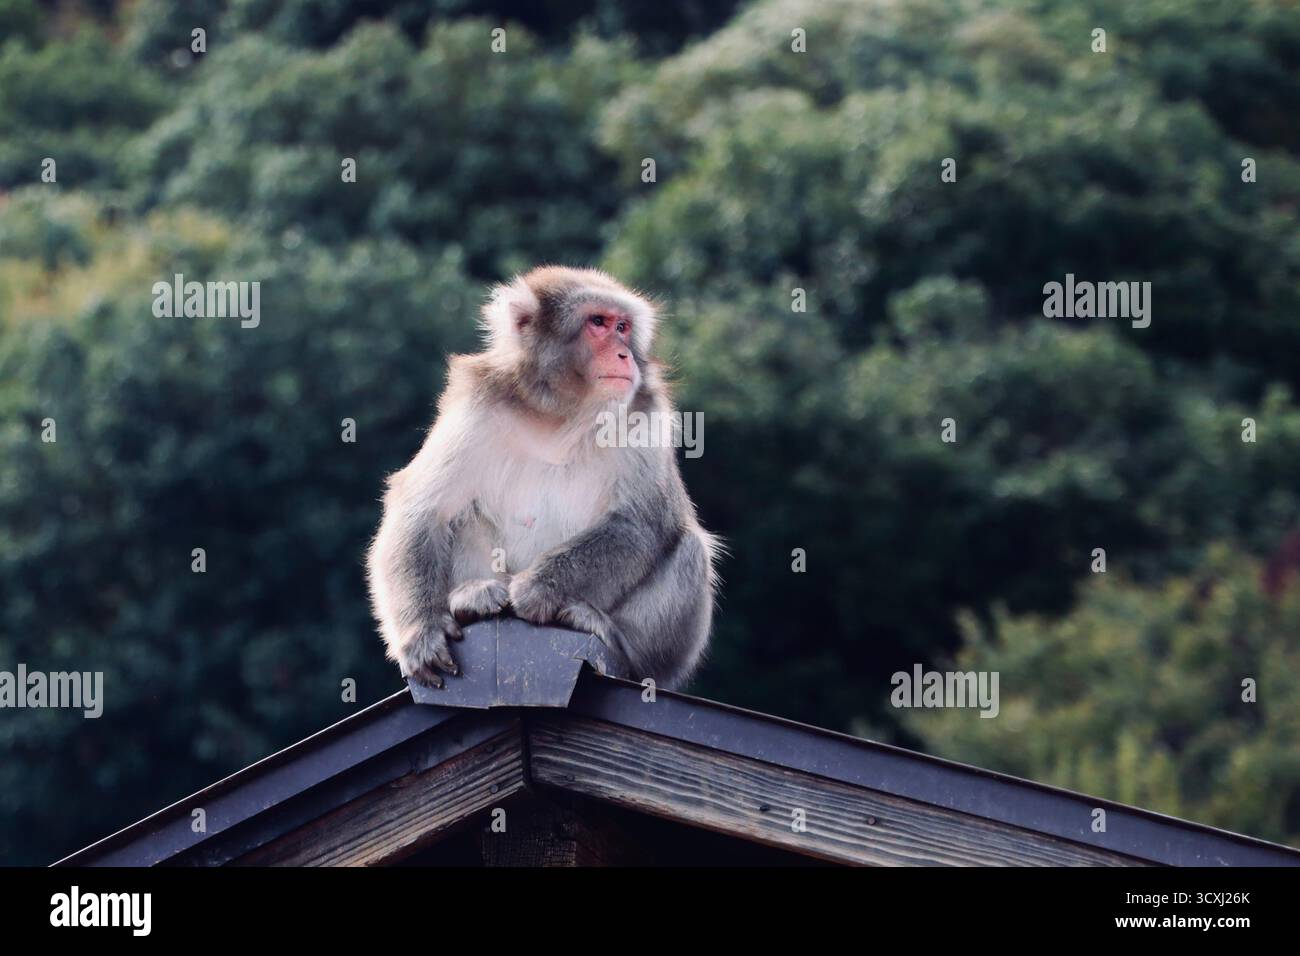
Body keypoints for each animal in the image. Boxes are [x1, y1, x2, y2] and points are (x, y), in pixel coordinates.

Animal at [366, 266, 718, 691]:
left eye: (622, 327)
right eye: (598, 323)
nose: (624, 354)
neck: (560, 415)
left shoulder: (645, 414)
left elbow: (641, 521)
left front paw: (536, 590)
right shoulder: (479, 402)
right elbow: (424, 508)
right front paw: (422, 630)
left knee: (689, 548)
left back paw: (612, 634)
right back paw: (471, 600)